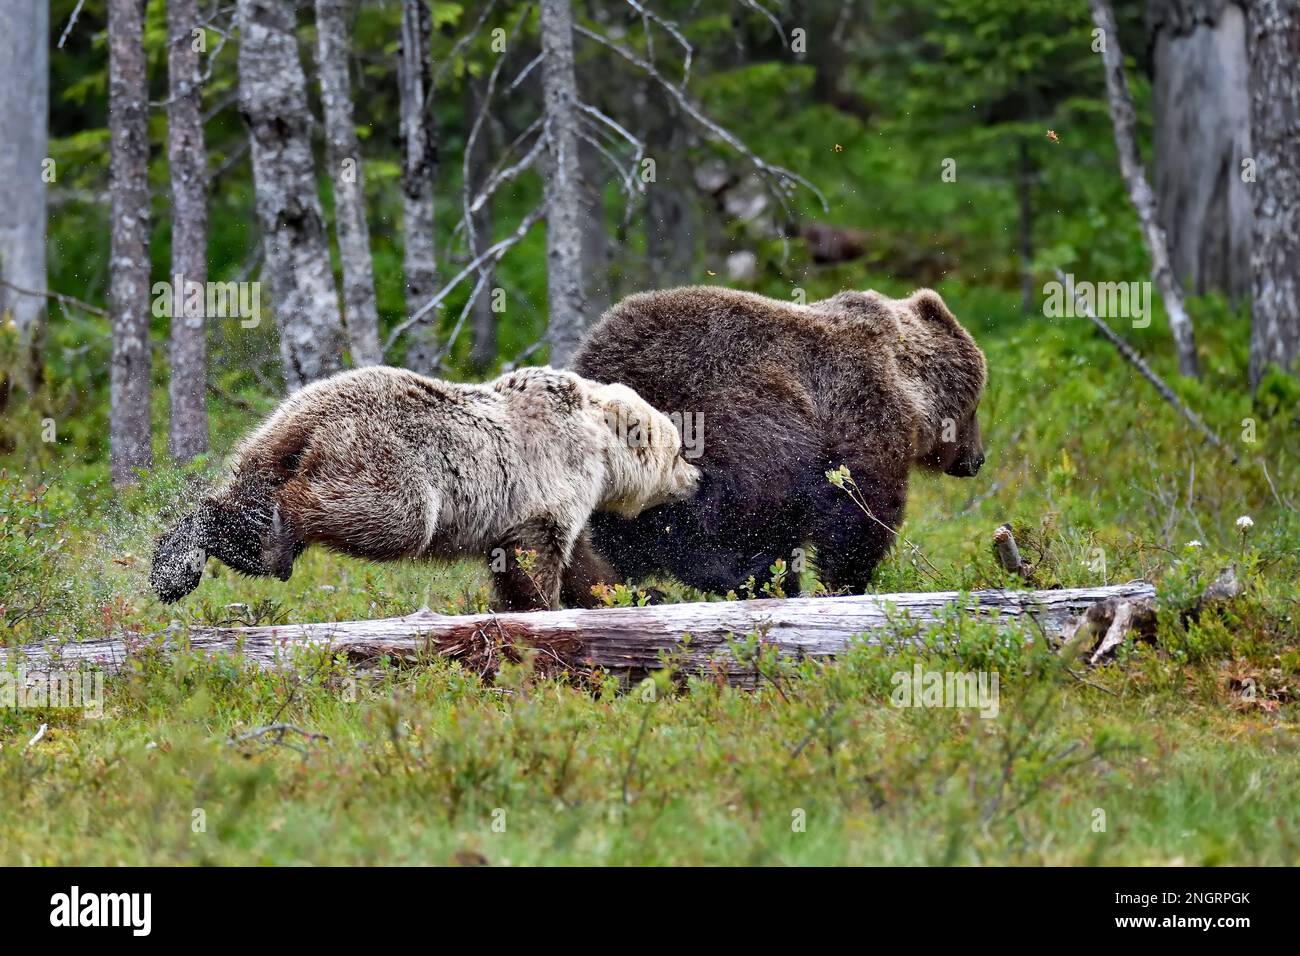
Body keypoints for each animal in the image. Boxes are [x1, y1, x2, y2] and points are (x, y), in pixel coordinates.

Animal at [149, 365, 700, 611]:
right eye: (678, 449)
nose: (697, 478)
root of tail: (313, 419)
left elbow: (582, 561)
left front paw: (636, 592)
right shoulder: (548, 481)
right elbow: (535, 558)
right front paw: (541, 608)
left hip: (272, 445)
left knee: (238, 504)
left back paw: (174, 565)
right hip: (387, 461)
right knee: (390, 515)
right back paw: (278, 540)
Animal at [560, 286, 987, 601]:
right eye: (975, 407)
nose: (977, 459)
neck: (909, 389)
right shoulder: (860, 418)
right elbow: (859, 514)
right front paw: (842, 583)